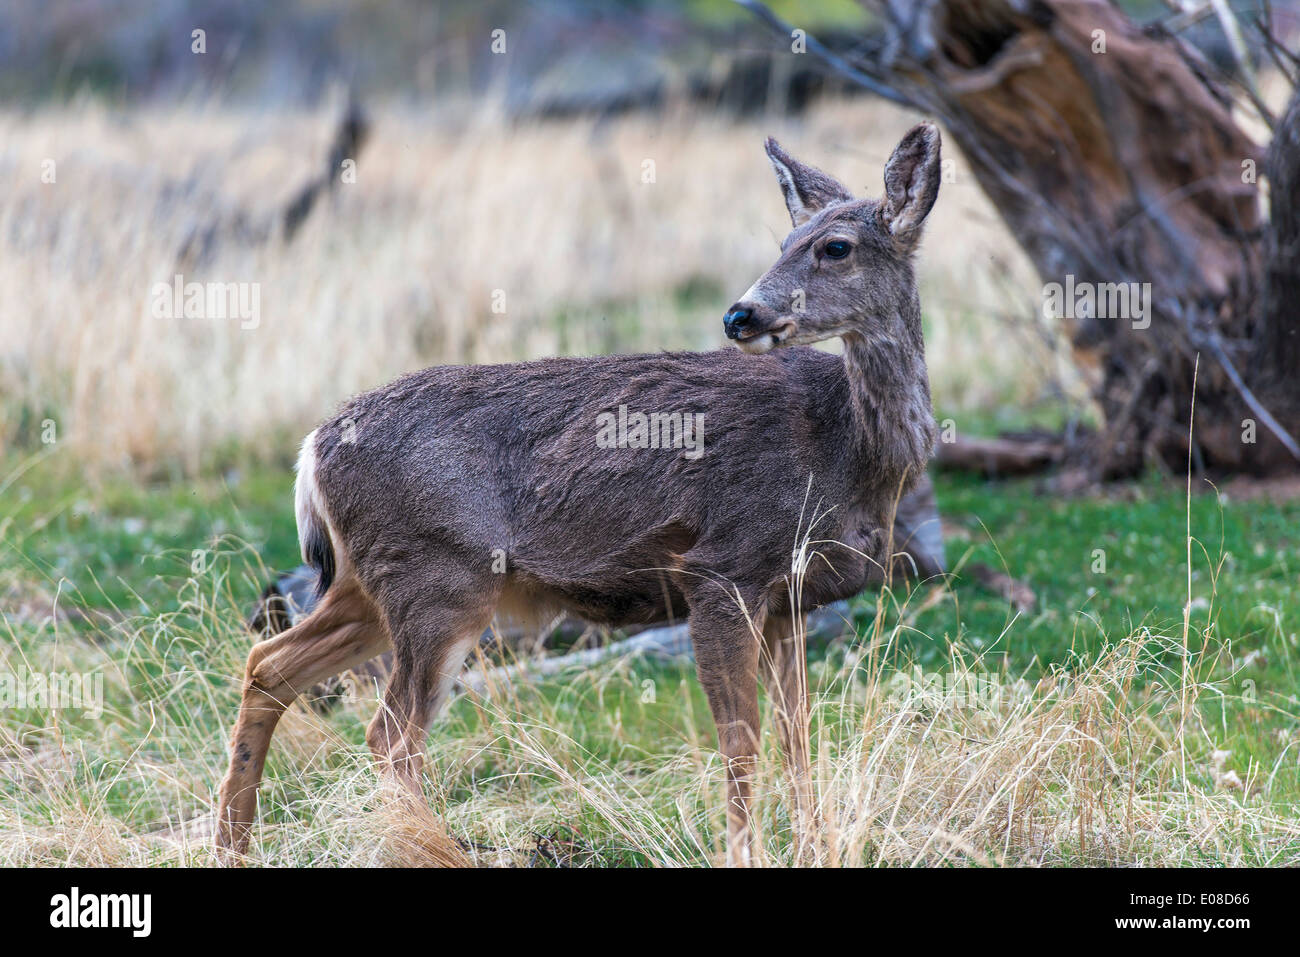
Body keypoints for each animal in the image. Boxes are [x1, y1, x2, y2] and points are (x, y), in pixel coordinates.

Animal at [215, 122, 941, 866]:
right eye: (786, 240)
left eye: (834, 246)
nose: (741, 314)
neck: (850, 452)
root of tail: (313, 448)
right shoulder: (720, 570)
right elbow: (743, 741)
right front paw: (746, 852)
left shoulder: (791, 599)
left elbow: (798, 733)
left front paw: (813, 844)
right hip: (438, 579)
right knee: (388, 734)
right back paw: (432, 847)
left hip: (372, 583)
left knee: (269, 666)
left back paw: (233, 842)